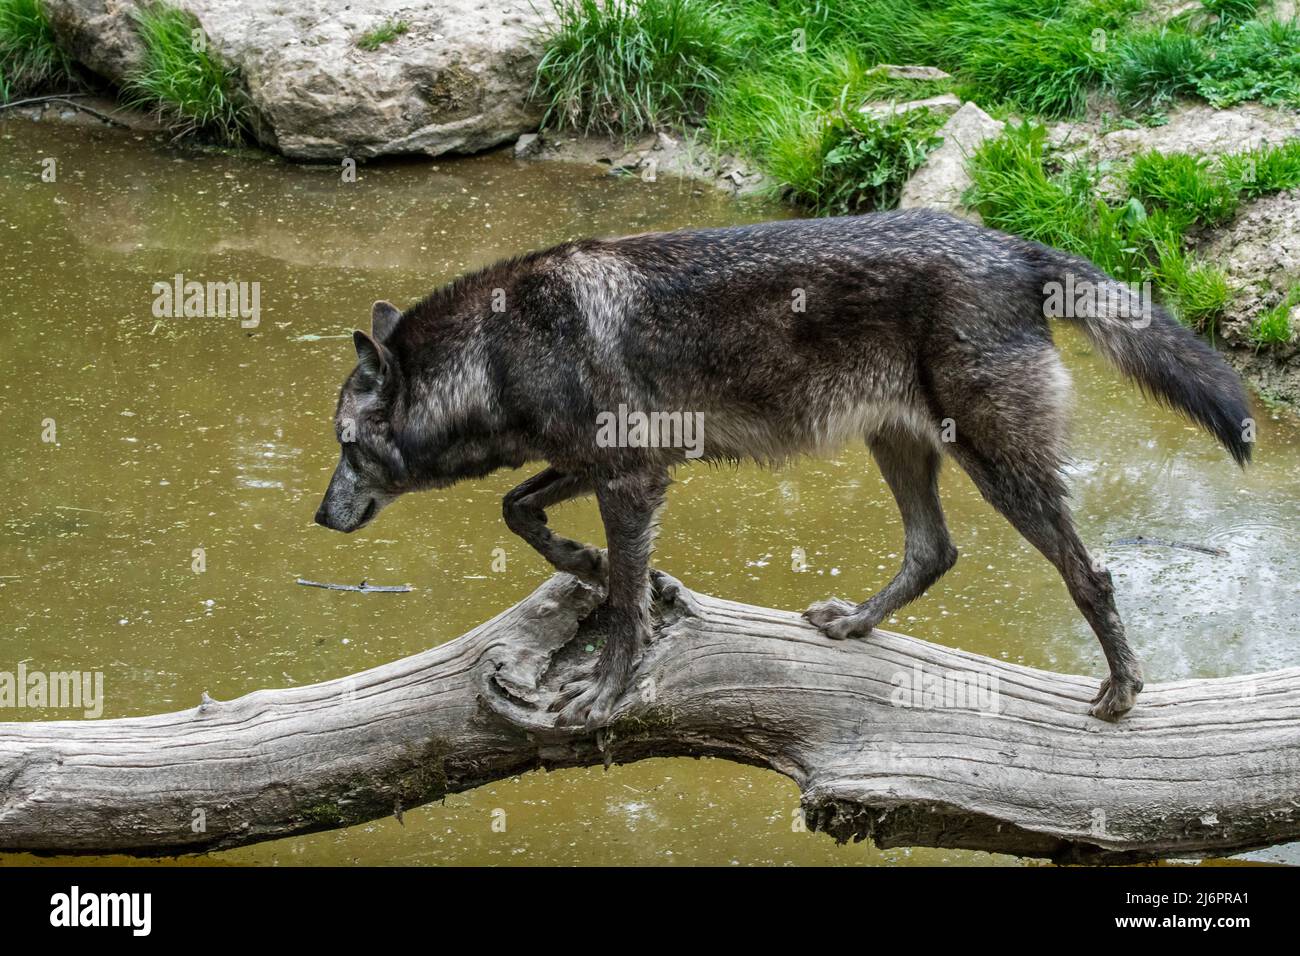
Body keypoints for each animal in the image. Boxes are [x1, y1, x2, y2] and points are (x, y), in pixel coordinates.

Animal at [314, 211, 1251, 729]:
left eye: (346, 445)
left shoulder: (633, 478)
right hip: (900, 445)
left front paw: (609, 686)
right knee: (934, 550)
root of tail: (1013, 247)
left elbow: (618, 608)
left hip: (999, 465)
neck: (500, 349)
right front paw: (603, 569)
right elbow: (520, 512)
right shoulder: (605, 467)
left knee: (1090, 574)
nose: (322, 518)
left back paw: (1123, 688)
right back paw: (856, 625)